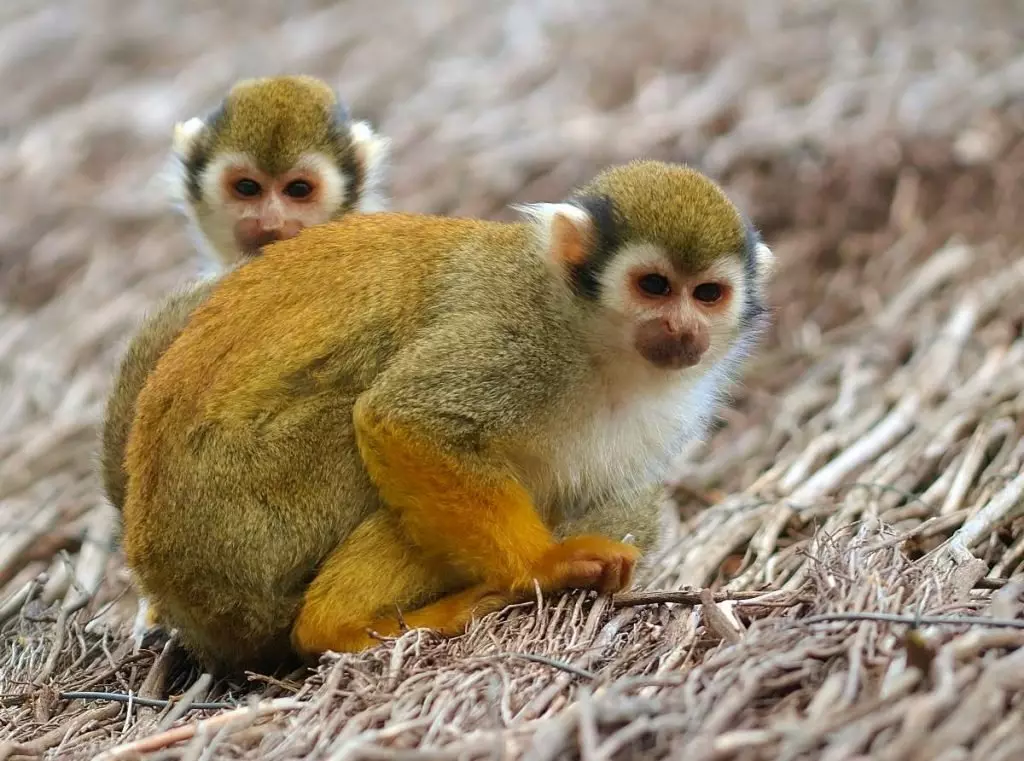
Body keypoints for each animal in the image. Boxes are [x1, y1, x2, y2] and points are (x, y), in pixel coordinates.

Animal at [119, 158, 774, 671]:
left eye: (707, 294)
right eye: (654, 286)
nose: (682, 330)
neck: (597, 344)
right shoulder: (519, 333)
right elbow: (405, 419)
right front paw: (544, 565)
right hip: (239, 519)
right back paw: (339, 627)